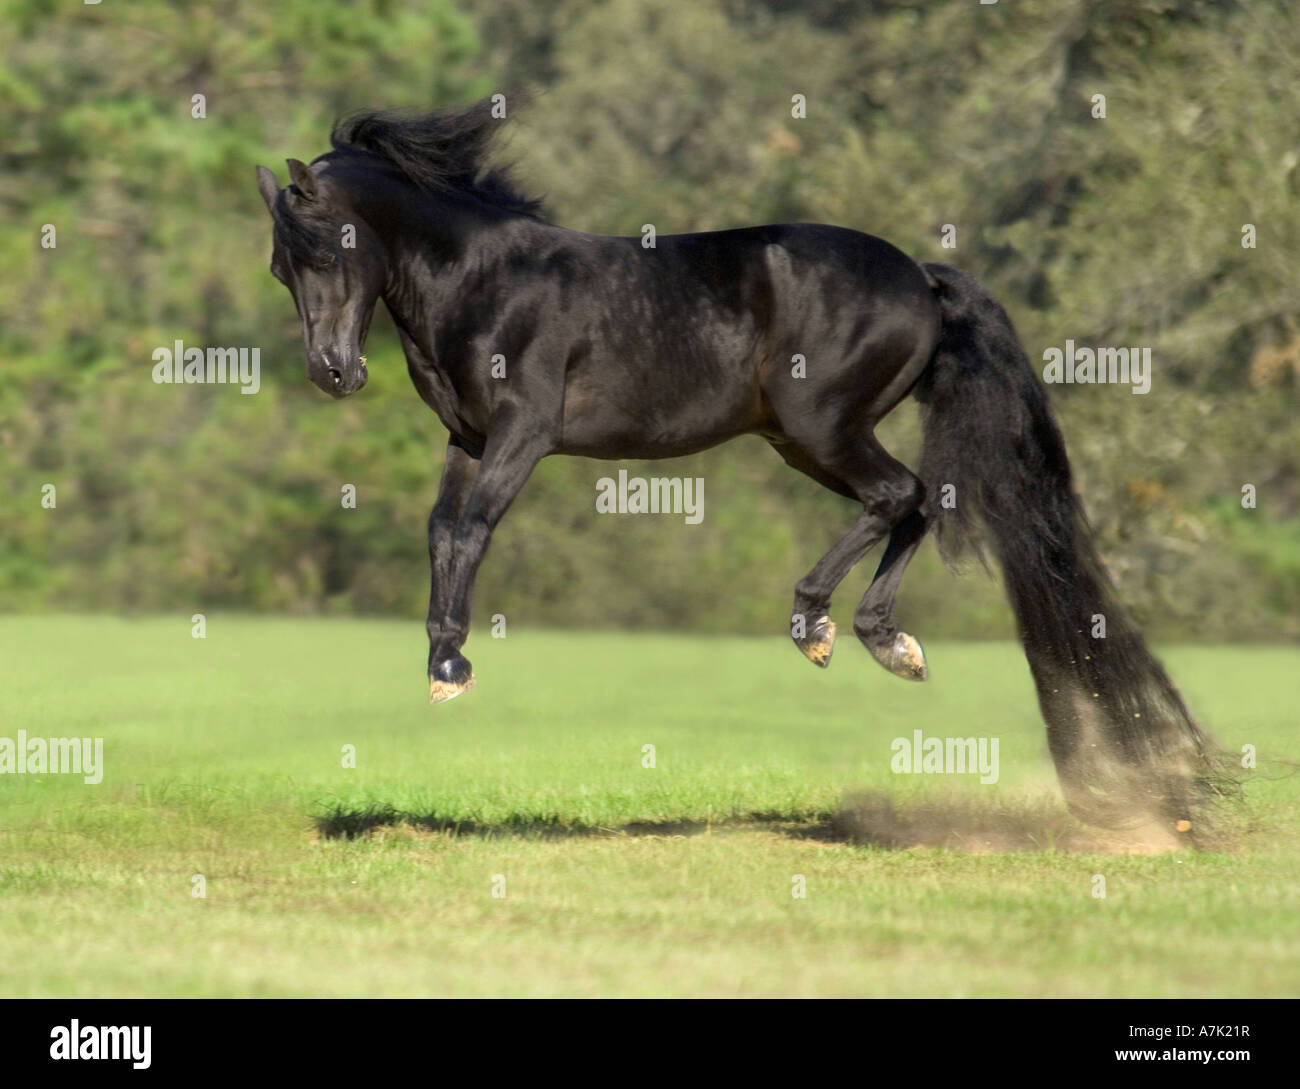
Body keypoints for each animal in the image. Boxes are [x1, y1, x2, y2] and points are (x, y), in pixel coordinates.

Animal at [255, 97, 1225, 833]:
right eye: (279, 266)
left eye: (333, 245)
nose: (334, 373)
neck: (486, 282)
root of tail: (921, 277)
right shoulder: (466, 439)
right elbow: (441, 532)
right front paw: (439, 658)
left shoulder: (523, 434)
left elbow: (472, 528)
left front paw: (452, 671)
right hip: (804, 439)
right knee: (913, 502)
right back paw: (883, 642)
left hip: (820, 426)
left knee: (903, 493)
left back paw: (822, 625)